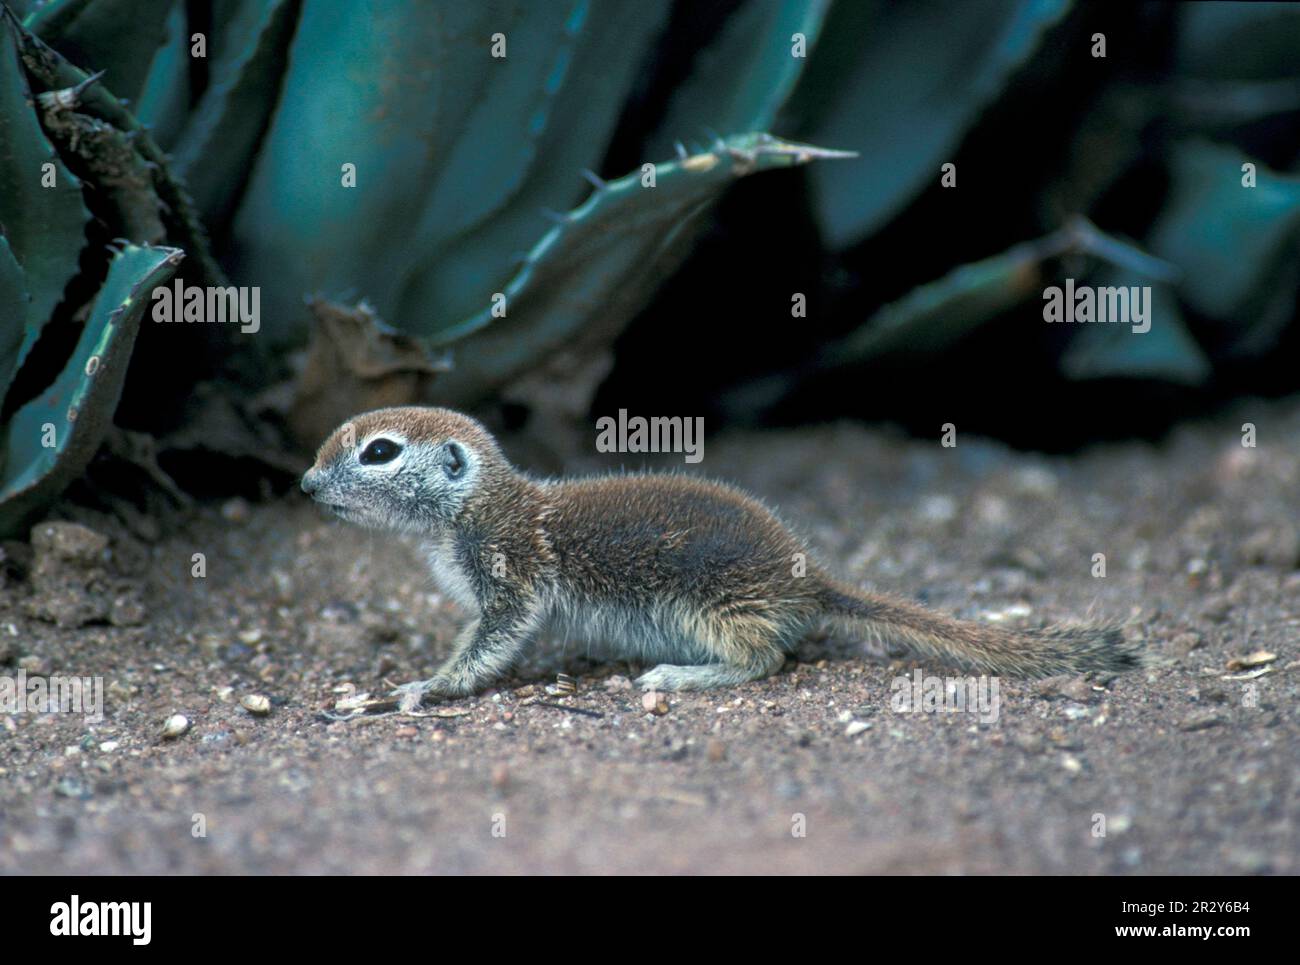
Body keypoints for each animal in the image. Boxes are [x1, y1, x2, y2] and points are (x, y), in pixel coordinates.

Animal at [301, 407, 1142, 710]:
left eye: (379, 452)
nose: (306, 484)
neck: (476, 506)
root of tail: (813, 577)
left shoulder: (509, 574)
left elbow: (491, 641)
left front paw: (425, 685)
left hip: (711, 604)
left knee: (764, 657)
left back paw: (682, 673)